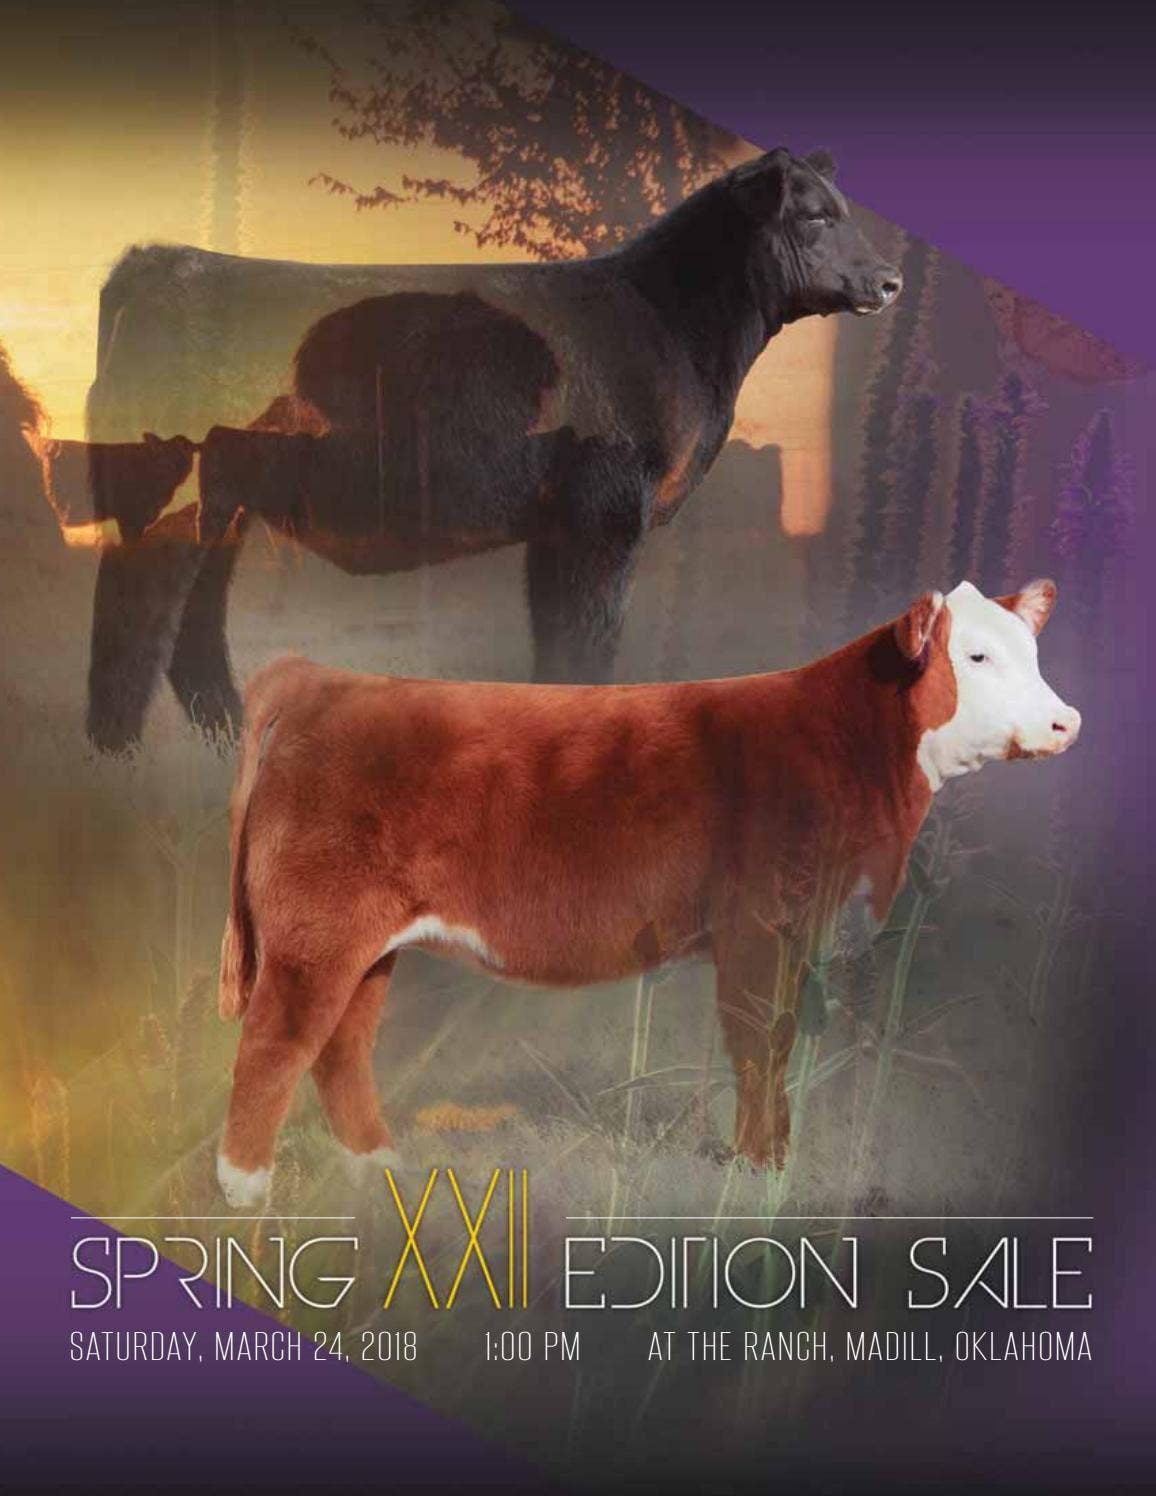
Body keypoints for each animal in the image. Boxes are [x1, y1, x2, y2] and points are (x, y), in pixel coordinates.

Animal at [84, 147, 901, 750]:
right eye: (816, 216)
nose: (891, 279)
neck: (674, 322)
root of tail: (163, 261)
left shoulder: (559, 526)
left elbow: (557, 649)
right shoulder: (604, 518)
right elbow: (586, 643)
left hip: (223, 503)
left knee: (192, 618)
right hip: (163, 487)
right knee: (134, 615)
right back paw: (116, 765)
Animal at [213, 578, 1080, 1208]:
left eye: (1035, 653)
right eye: (975, 656)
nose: (1065, 721)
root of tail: (326, 679)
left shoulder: (796, 930)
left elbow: (776, 1043)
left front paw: (770, 1162)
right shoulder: (759, 925)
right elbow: (760, 1044)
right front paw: (759, 1171)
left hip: (366, 947)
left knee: (340, 1049)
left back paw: (381, 1172)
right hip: (314, 938)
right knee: (275, 1046)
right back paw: (246, 1195)